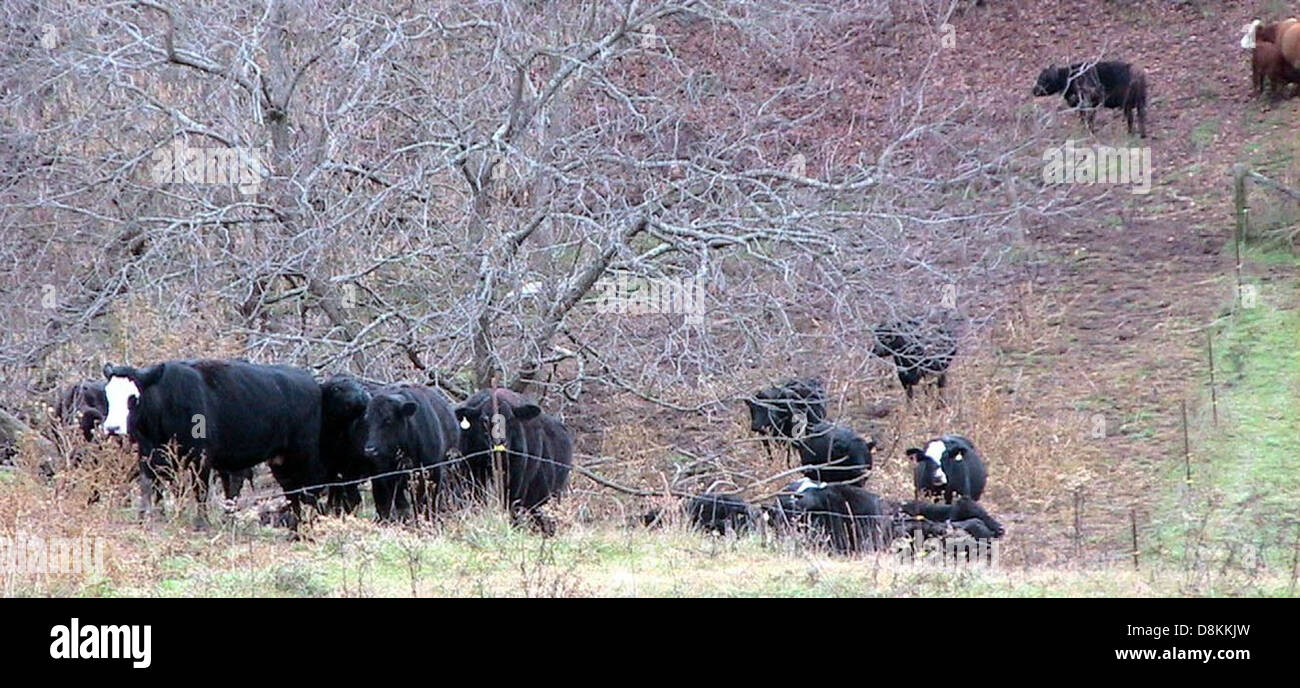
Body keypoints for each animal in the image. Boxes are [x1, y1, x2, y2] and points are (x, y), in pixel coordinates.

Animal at [101, 360, 326, 529]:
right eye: (108, 395)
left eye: (133, 398)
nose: (112, 427)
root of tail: (312, 383)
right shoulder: (148, 455)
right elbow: (150, 488)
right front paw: (147, 518)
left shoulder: (200, 458)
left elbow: (200, 490)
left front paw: (201, 523)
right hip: (281, 461)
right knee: (291, 491)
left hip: (303, 456)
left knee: (310, 488)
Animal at [361, 383, 459, 521]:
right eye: (367, 420)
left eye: (388, 419)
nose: (370, 449)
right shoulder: (389, 479)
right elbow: (402, 505)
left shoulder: (433, 473)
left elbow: (426, 503)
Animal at [454, 388, 572, 533]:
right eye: (484, 420)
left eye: (510, 418)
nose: (500, 442)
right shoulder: (471, 475)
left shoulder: (517, 481)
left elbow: (511, 506)